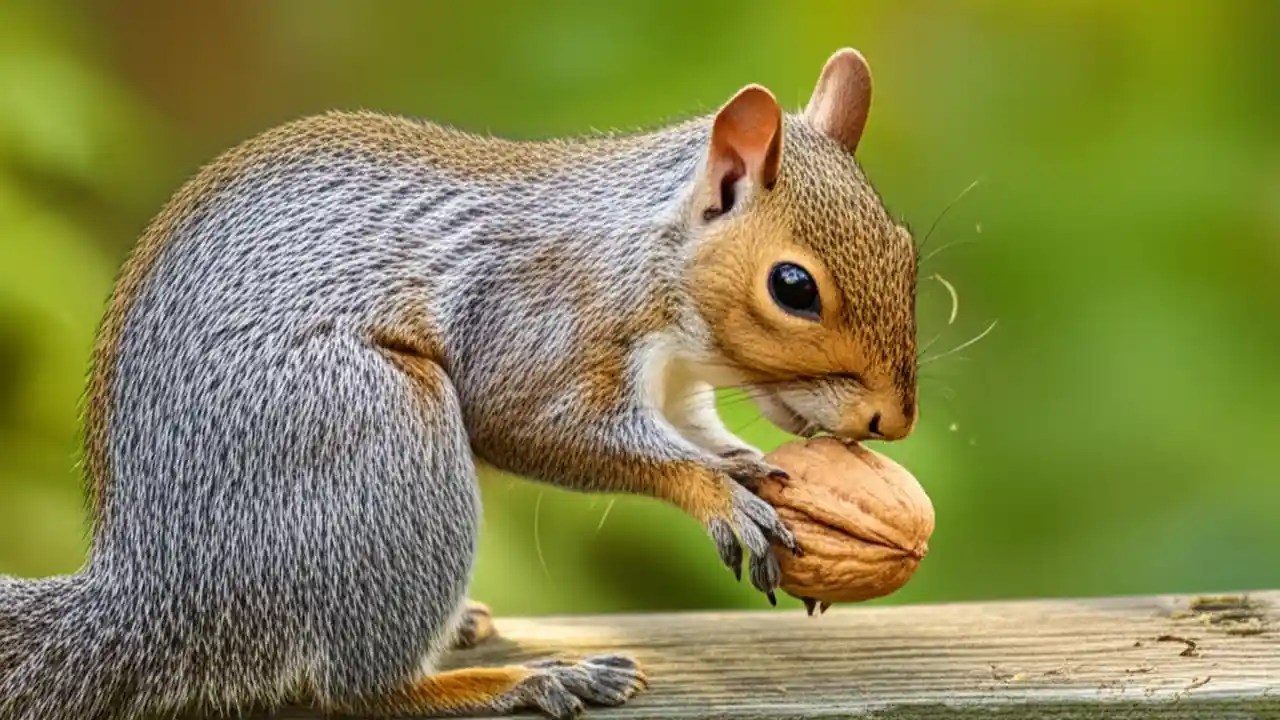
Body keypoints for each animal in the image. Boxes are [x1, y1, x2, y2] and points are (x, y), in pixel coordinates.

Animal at [0, 48, 917, 719]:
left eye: (906, 249)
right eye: (792, 287)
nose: (893, 420)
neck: (649, 260)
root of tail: (161, 595)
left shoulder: (676, 390)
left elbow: (697, 431)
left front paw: (746, 466)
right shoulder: (537, 327)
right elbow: (548, 427)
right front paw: (721, 495)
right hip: (382, 435)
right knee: (358, 690)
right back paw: (520, 681)